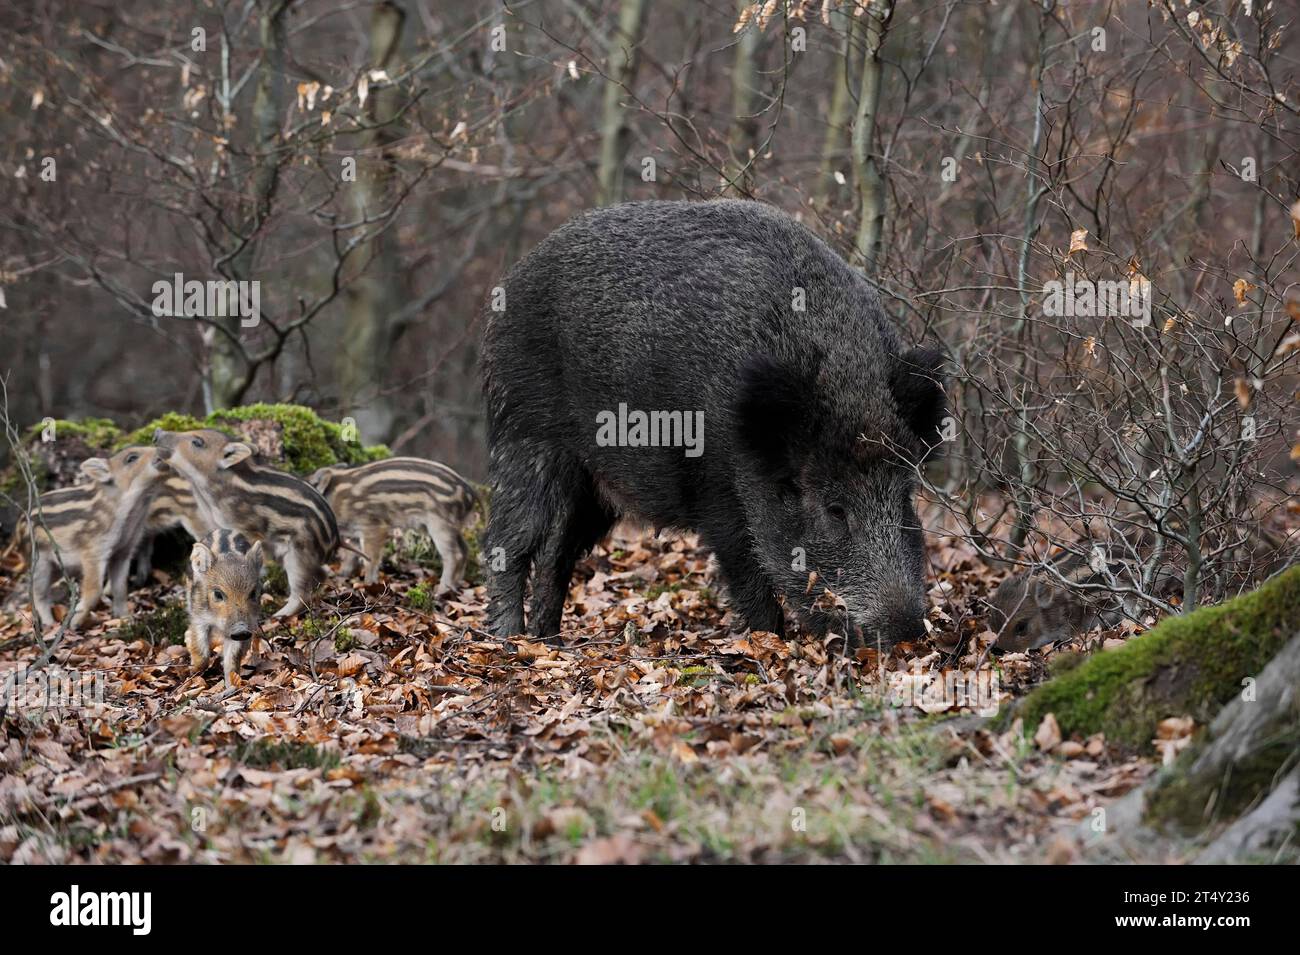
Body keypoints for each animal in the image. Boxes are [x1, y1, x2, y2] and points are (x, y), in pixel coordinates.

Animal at [16, 446, 172, 629]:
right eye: (131, 458)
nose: (165, 450)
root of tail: (19, 525)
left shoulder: (123, 551)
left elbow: (120, 588)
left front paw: (126, 619)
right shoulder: (93, 552)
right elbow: (94, 590)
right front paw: (74, 623)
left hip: (57, 567)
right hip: (39, 561)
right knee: (37, 593)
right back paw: (51, 624)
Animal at [152, 428, 339, 618]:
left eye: (197, 442)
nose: (158, 432)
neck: (206, 491)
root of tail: (333, 543)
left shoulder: (247, 530)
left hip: (299, 555)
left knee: (302, 593)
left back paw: (277, 616)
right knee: (321, 575)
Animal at [185, 529, 264, 688]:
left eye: (253, 593)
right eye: (217, 594)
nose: (241, 628)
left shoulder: (241, 632)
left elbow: (232, 659)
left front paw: (231, 685)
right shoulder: (199, 618)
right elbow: (201, 653)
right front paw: (192, 673)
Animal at [308, 457, 478, 593]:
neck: (337, 498)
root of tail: (470, 494)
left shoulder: (373, 526)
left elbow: (370, 559)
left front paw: (368, 584)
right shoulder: (355, 532)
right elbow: (352, 555)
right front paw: (342, 575)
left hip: (440, 524)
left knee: (454, 555)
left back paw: (441, 591)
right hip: (452, 526)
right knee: (465, 550)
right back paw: (455, 586)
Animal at [481, 199, 946, 644]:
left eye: (906, 493)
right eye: (835, 509)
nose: (906, 630)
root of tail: (510, 284)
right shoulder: (716, 494)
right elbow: (748, 575)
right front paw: (769, 641)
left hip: (594, 487)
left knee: (558, 554)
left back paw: (550, 640)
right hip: (526, 437)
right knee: (507, 542)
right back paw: (509, 640)